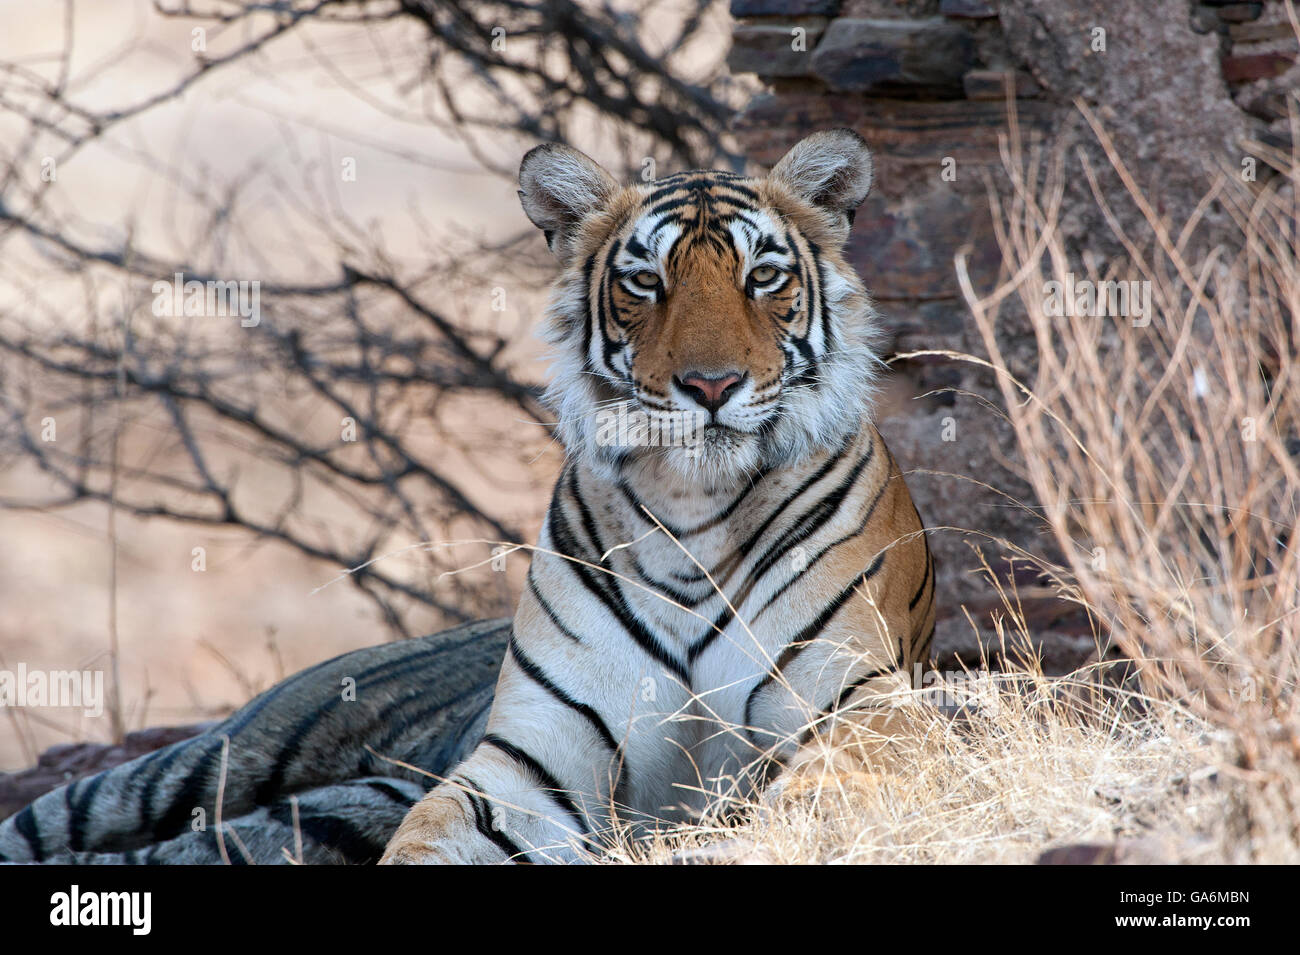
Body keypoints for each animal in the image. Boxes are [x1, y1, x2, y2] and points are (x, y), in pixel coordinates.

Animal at [379, 128, 935, 864]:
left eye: (763, 276)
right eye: (646, 281)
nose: (711, 385)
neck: (692, 504)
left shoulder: (859, 702)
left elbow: (803, 808)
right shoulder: (533, 756)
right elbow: (425, 833)